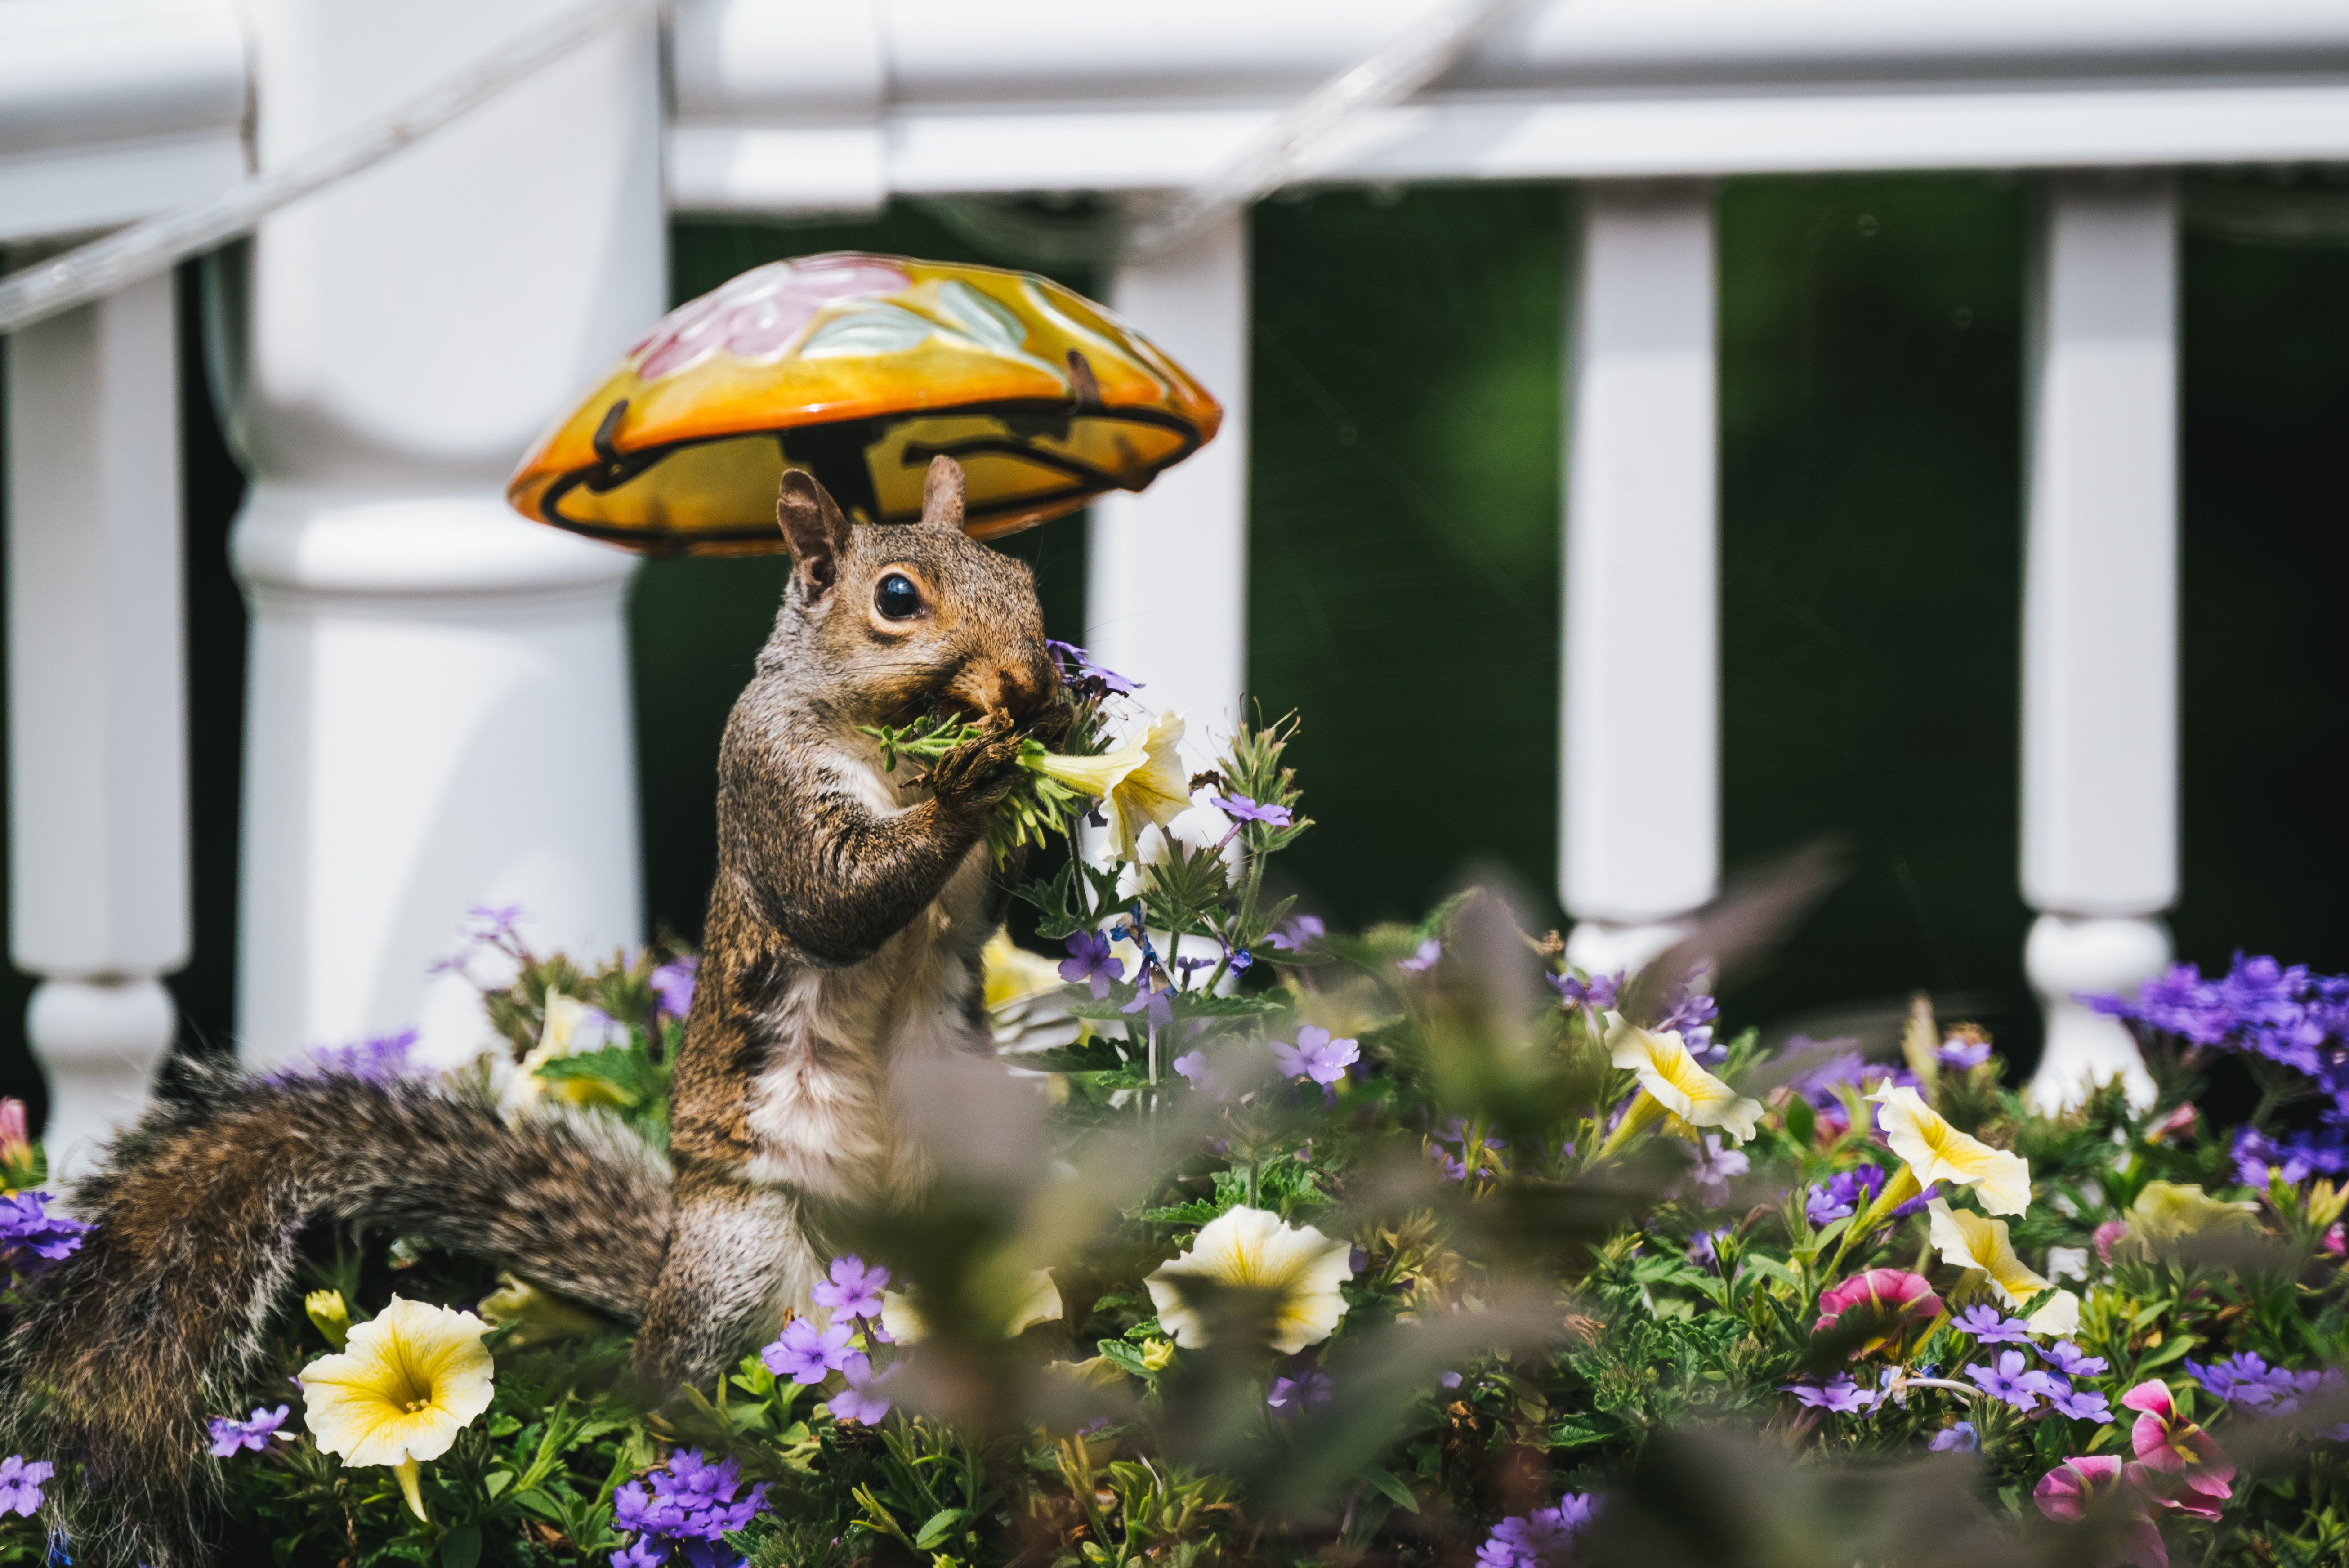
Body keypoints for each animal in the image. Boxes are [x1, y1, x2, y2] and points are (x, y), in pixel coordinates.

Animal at [0, 455, 1062, 1566]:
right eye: (896, 598)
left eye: (1020, 579)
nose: (1033, 682)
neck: (890, 746)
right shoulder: (769, 779)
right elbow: (832, 895)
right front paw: (972, 782)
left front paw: (1052, 737)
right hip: (741, 1258)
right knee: (674, 1387)